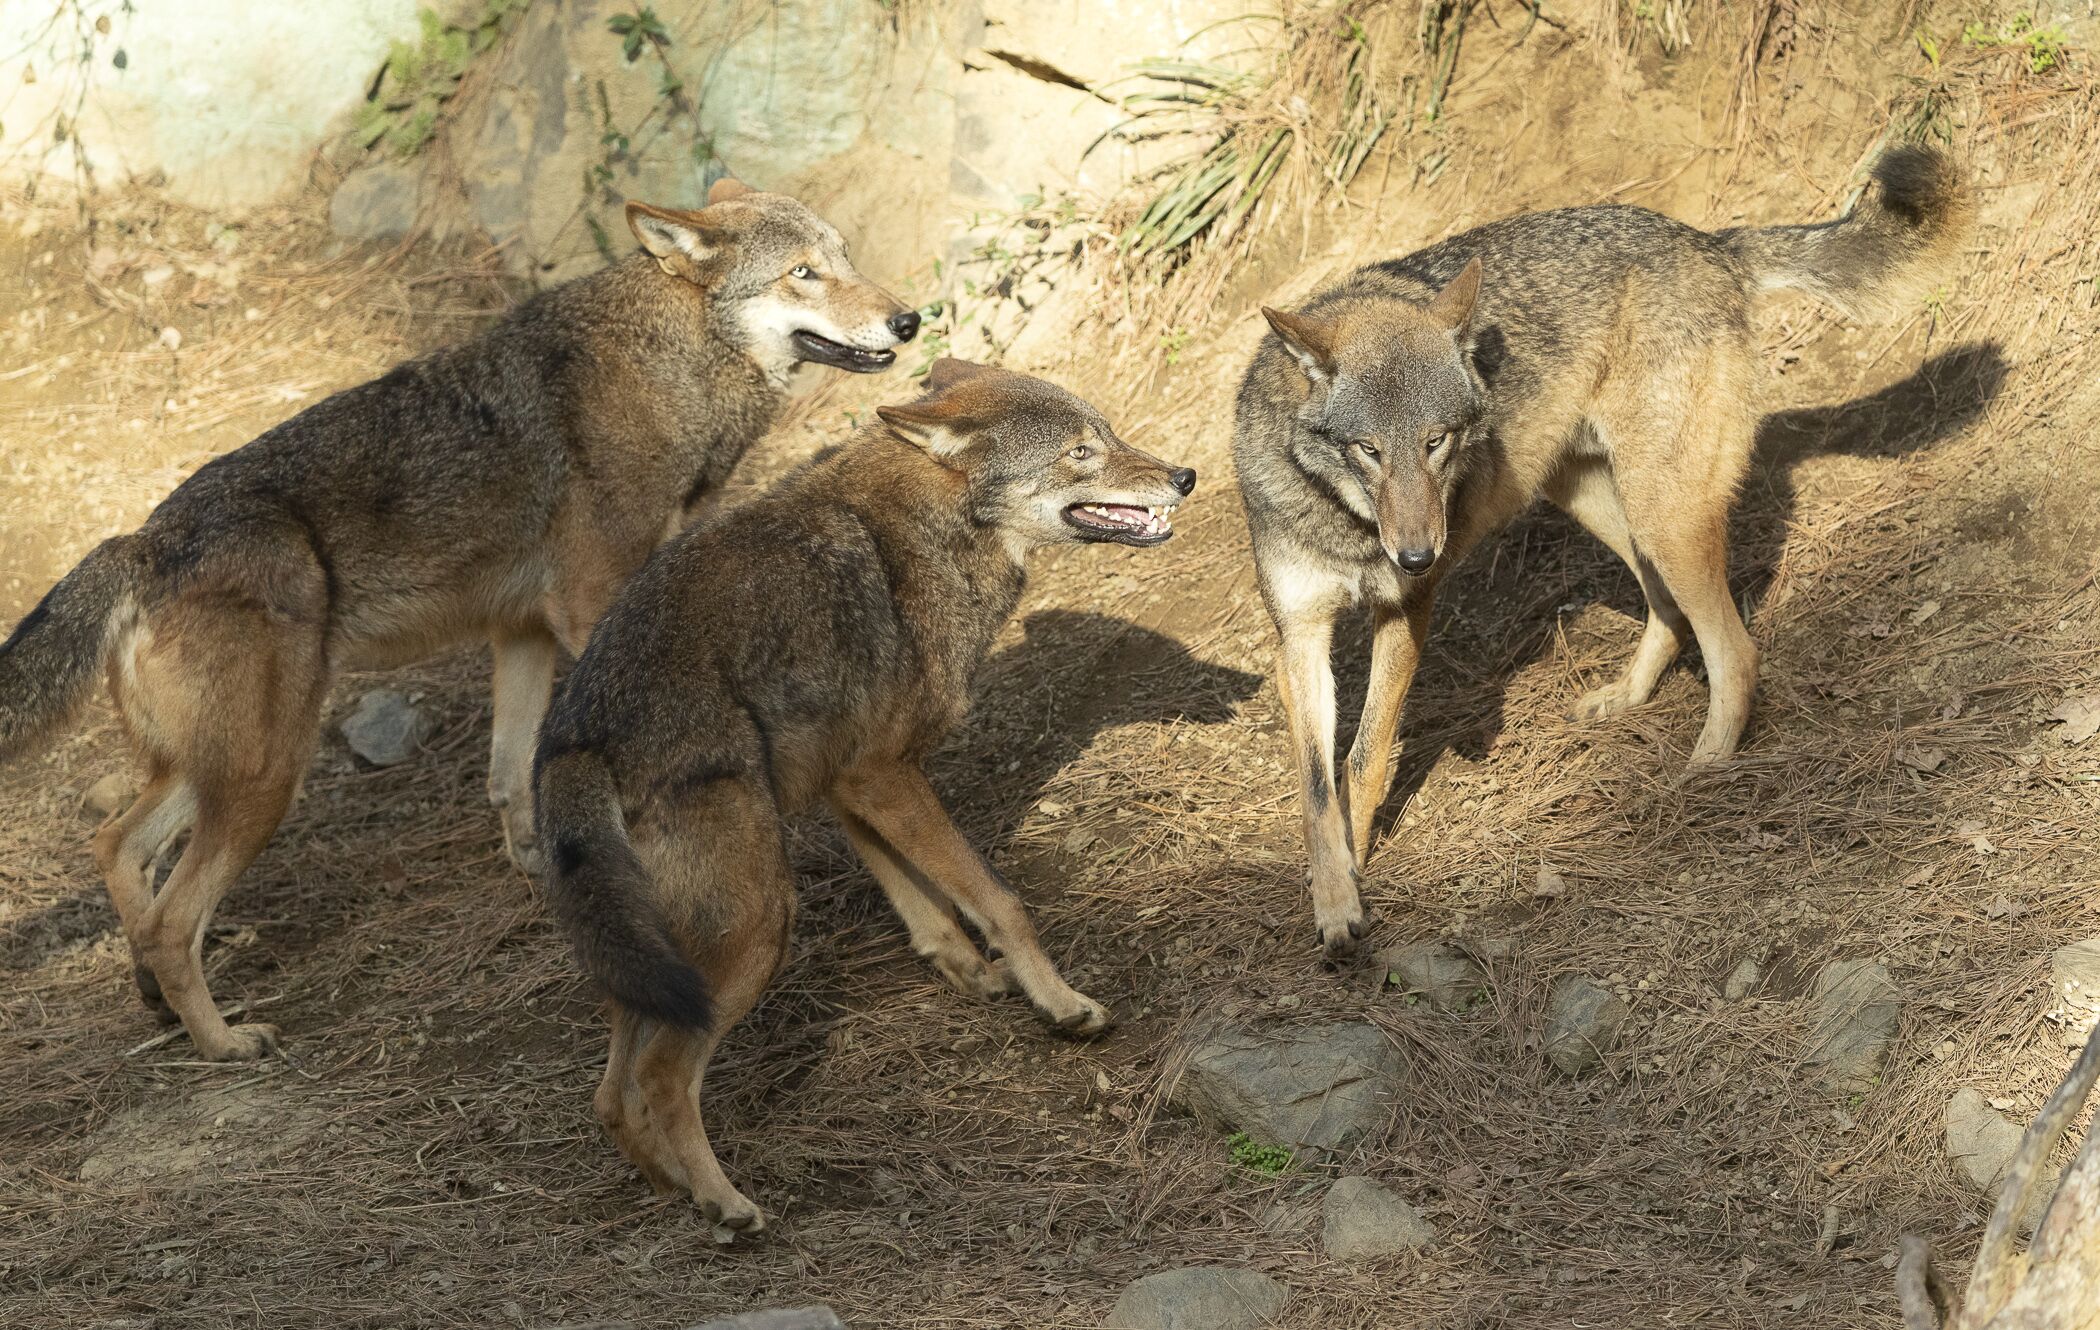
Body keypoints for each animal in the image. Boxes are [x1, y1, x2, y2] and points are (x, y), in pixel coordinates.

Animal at [0, 178, 918, 1060]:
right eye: (803, 273)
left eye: (844, 256)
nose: (907, 319)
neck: (669, 360)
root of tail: (144, 541)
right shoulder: (591, 606)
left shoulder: (523, 630)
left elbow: (511, 776)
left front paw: (547, 877)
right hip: (267, 772)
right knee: (168, 917)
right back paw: (224, 1044)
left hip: (226, 767)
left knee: (115, 845)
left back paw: (154, 1002)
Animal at [533, 359, 1195, 1230]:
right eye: (1081, 451)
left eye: (1111, 433)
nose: (1185, 476)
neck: (923, 534)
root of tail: (576, 736)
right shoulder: (883, 772)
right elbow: (1000, 899)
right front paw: (1062, 1004)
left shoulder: (848, 780)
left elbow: (924, 904)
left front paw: (972, 974)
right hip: (758, 925)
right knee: (659, 1078)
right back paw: (728, 1206)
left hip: (660, 956)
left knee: (607, 1096)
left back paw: (676, 1192)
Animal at [1234, 145, 1970, 956]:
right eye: (1368, 450)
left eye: (1438, 443)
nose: (1421, 556)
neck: (1343, 523)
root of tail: (1711, 242)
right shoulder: (1300, 637)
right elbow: (1316, 787)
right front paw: (1334, 896)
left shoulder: (1405, 613)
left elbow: (1363, 761)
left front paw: (1358, 877)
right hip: (1606, 507)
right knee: (1670, 615)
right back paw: (1627, 697)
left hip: (1661, 514)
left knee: (1735, 651)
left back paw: (1704, 765)